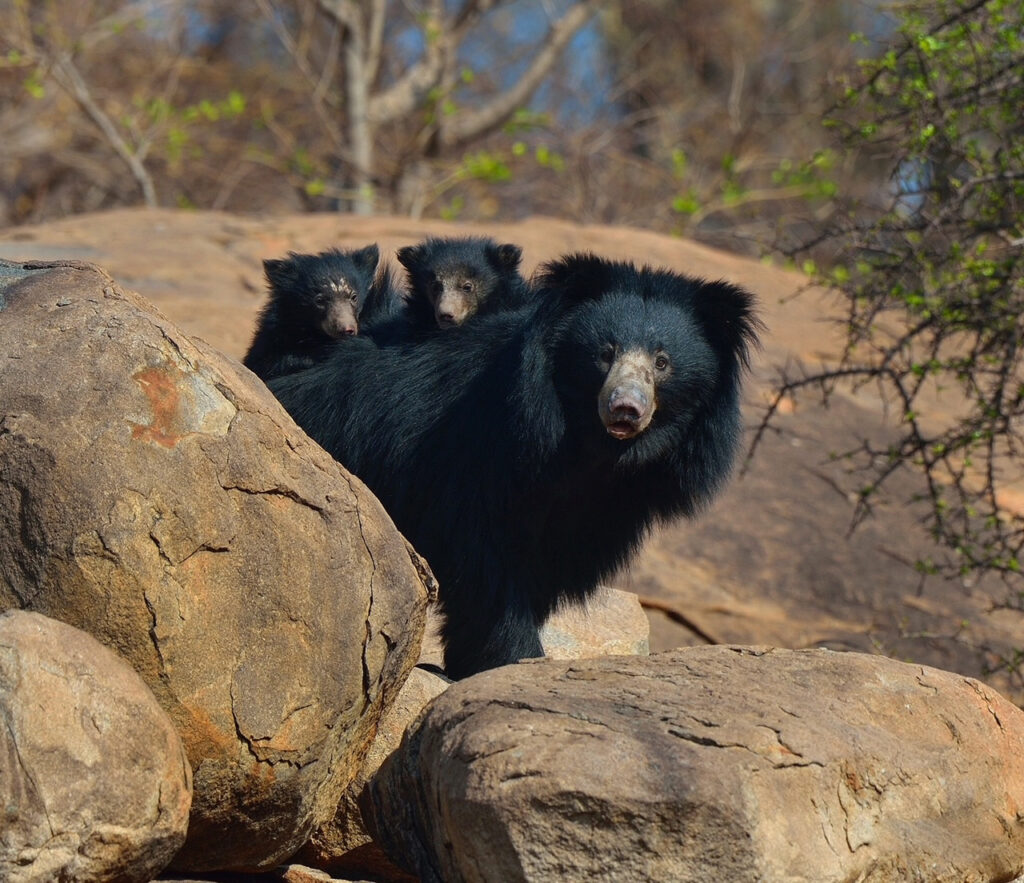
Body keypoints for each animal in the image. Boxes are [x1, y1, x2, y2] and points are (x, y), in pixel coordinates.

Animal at [268, 253, 759, 679]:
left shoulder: (604, 503)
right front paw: (513, 658)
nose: (625, 409)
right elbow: (486, 561)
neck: (586, 446)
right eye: (605, 352)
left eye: (662, 362)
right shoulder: (477, 452)